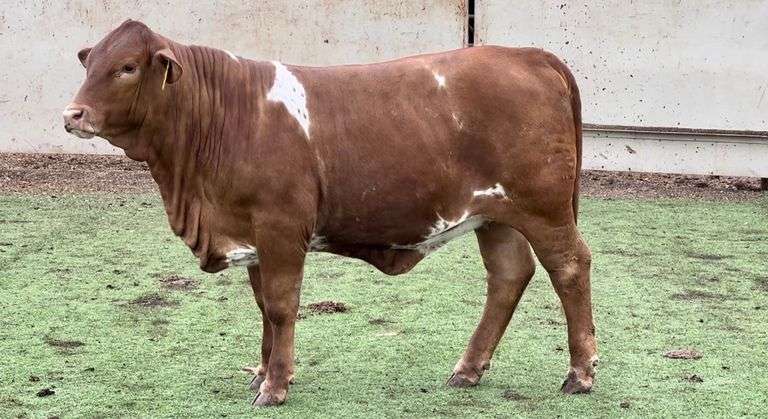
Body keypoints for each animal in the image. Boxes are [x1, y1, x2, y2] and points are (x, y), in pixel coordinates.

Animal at [63, 20, 597, 406]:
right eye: (90, 62)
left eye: (127, 67)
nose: (73, 114)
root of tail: (525, 54)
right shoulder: (252, 234)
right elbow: (263, 306)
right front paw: (262, 373)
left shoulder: (280, 227)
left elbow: (282, 306)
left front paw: (275, 387)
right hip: (496, 215)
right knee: (509, 275)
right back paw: (467, 370)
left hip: (544, 209)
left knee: (569, 267)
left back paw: (580, 374)